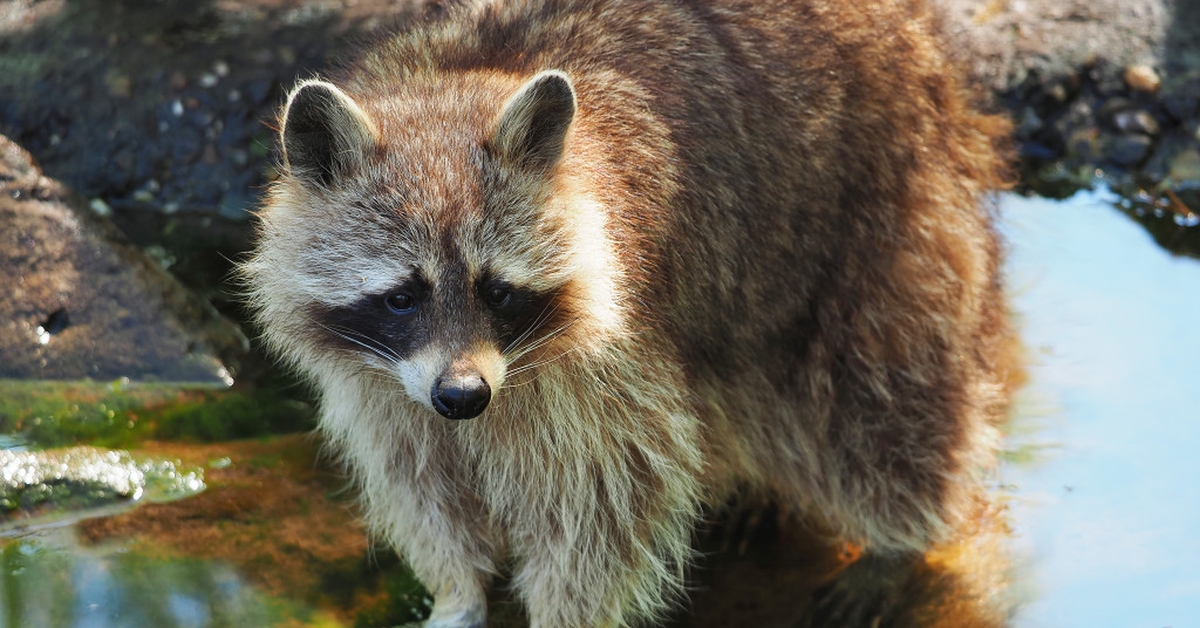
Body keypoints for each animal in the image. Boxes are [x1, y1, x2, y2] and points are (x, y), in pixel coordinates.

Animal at [242, 0, 1016, 626]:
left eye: (498, 292)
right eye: (403, 296)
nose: (464, 397)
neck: (451, 90)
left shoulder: (613, 361)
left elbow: (606, 501)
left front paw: (560, 613)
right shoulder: (386, 386)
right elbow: (422, 481)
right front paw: (457, 592)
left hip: (875, 220)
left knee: (875, 395)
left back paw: (896, 536)